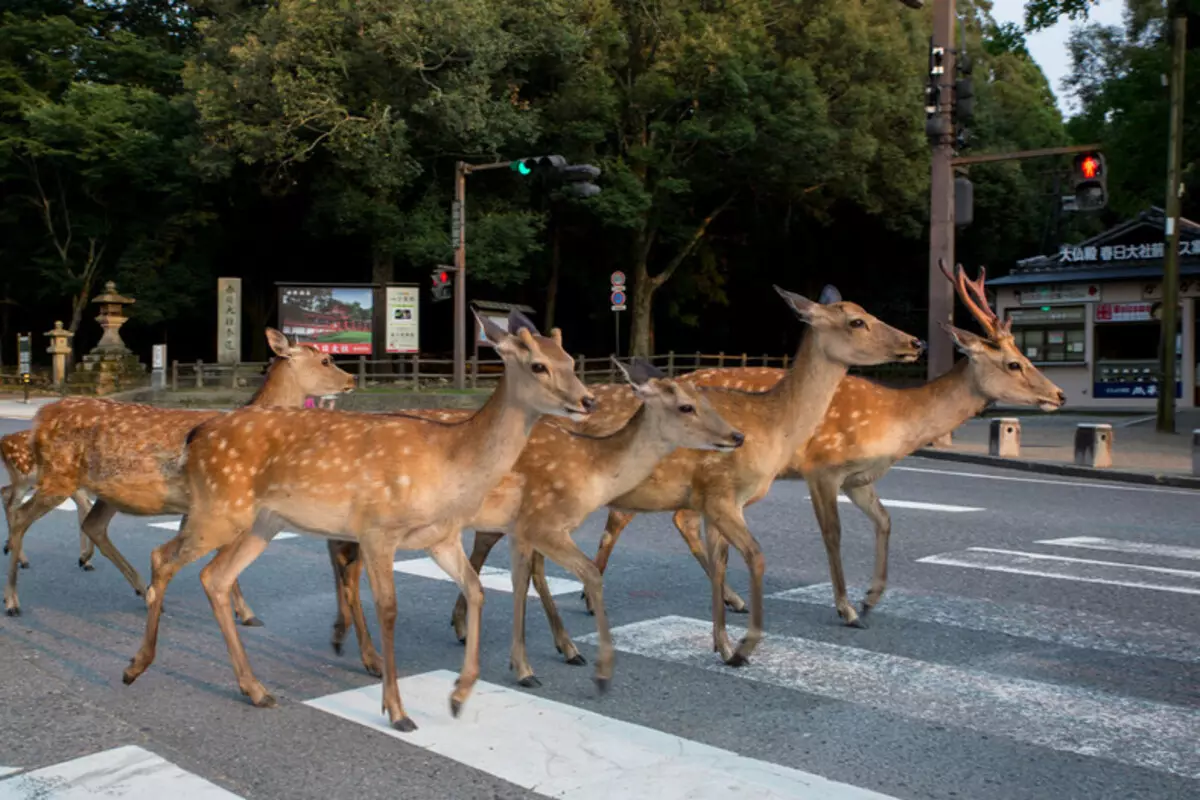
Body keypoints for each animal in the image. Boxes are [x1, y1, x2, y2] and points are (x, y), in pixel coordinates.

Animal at [2, 431, 94, 568]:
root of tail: (3, 441)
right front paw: (85, 559)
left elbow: (85, 511)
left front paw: (84, 560)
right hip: (28, 479)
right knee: (15, 506)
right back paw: (18, 555)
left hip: (23, 482)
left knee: (6, 494)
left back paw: (15, 553)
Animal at [119, 309, 597, 734]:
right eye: (538, 365)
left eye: (570, 360)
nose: (588, 400)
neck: (450, 463)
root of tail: (196, 434)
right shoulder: (378, 529)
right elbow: (388, 608)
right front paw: (397, 710)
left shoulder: (441, 537)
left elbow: (477, 591)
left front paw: (459, 696)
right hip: (220, 509)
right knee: (164, 557)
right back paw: (136, 666)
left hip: (260, 523)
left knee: (214, 577)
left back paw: (255, 690)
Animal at [324, 357, 744, 690]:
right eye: (686, 406)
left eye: (709, 400)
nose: (737, 435)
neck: (591, 466)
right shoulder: (536, 519)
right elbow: (554, 576)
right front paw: (537, 668)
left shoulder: (525, 527)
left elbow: (524, 579)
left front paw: (555, 652)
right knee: (350, 564)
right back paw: (368, 655)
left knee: (344, 558)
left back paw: (345, 639)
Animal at [561, 262, 1070, 633]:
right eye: (1013, 363)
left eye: (1024, 356)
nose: (1059, 395)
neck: (897, 424)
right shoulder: (823, 467)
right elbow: (834, 534)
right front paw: (847, 608)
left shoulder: (860, 477)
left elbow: (886, 520)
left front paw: (872, 597)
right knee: (626, 515)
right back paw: (592, 594)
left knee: (673, 519)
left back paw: (728, 597)